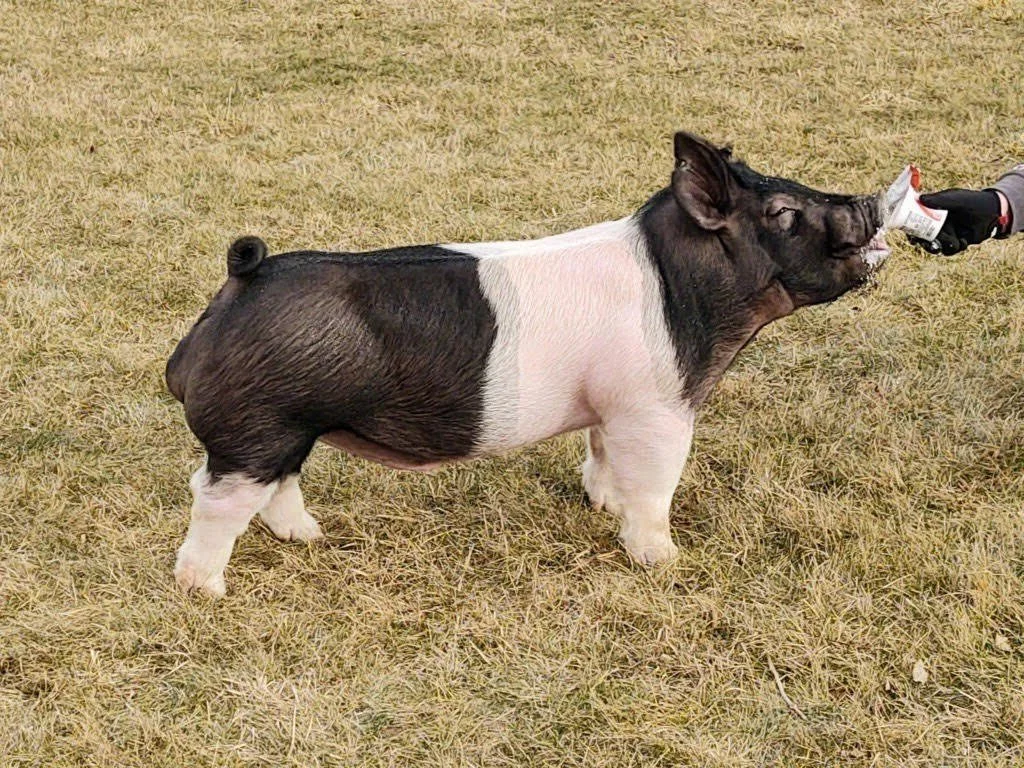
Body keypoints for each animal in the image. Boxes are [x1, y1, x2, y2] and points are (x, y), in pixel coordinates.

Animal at [166, 131, 889, 596]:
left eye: (791, 186)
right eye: (783, 212)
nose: (866, 203)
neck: (684, 290)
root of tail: (242, 282)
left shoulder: (611, 407)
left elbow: (601, 455)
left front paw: (600, 503)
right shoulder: (656, 408)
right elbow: (655, 487)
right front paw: (664, 561)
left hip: (289, 428)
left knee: (279, 485)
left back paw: (309, 537)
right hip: (259, 425)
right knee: (214, 496)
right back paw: (206, 589)